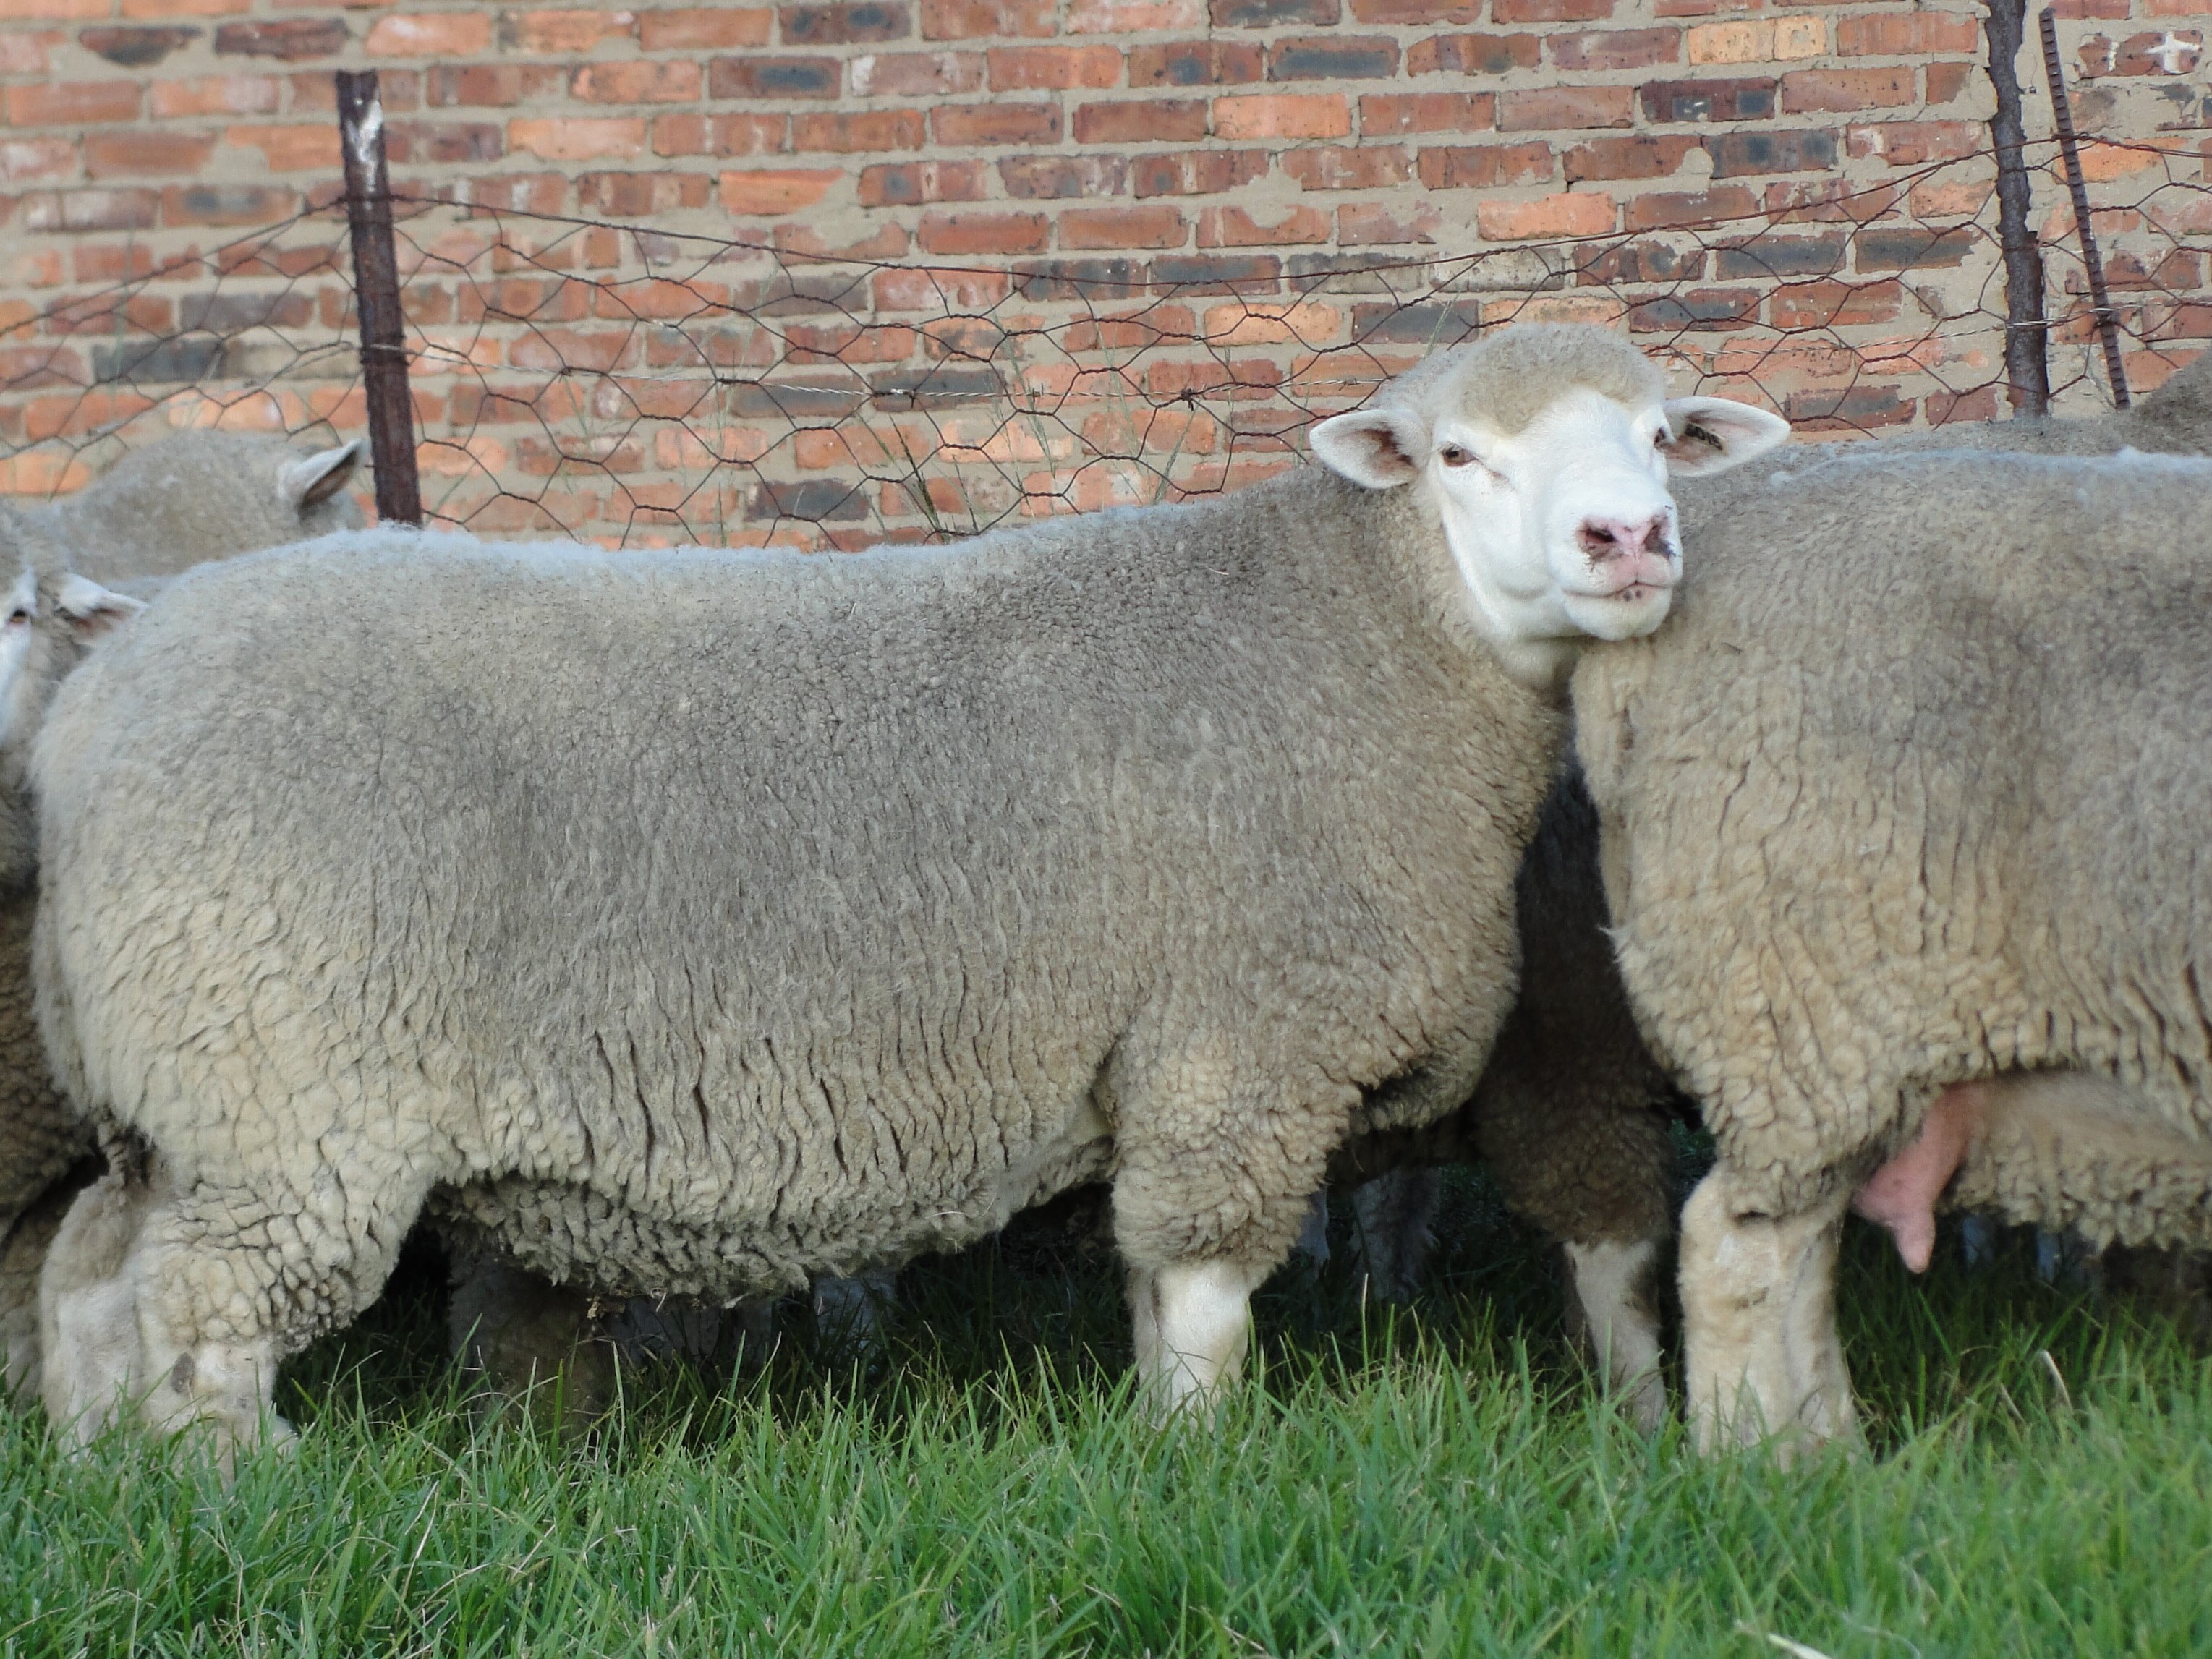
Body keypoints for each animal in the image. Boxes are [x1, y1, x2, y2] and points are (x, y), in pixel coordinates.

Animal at [26, 325, 1788, 1455]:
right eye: (1458, 455)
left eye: (1657, 433)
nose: (1627, 535)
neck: (1363, 635)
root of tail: (98, 706)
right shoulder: (1233, 1051)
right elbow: (1208, 1293)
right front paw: (1209, 1461)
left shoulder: (1156, 1066)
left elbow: (1146, 1284)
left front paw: (1153, 1448)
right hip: (282, 1085)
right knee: (204, 1313)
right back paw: (240, 1496)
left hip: (173, 1092)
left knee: (94, 1278)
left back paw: (107, 1480)